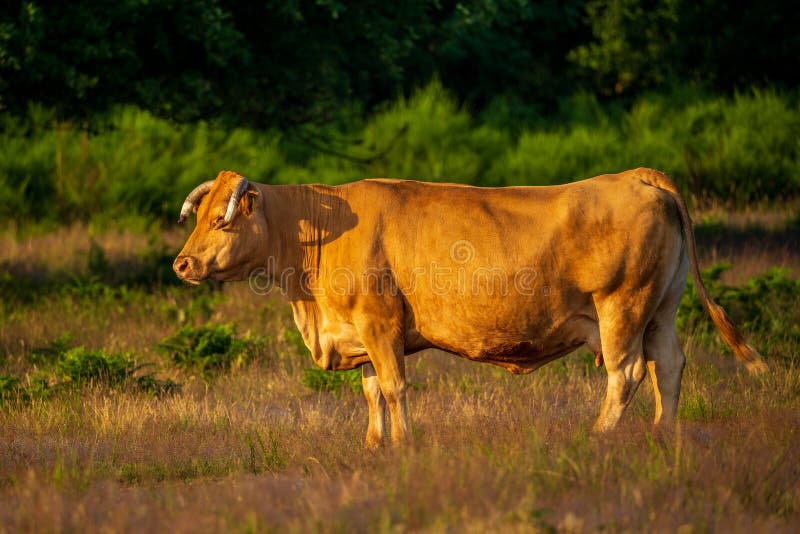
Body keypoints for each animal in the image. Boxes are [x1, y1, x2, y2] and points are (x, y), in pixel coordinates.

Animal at [173, 168, 766, 448]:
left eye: (222, 220)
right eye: (198, 216)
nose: (181, 264)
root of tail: (636, 175)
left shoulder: (380, 324)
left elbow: (394, 388)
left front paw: (404, 445)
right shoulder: (362, 335)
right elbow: (372, 393)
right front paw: (373, 446)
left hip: (621, 307)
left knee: (626, 373)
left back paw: (599, 437)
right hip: (660, 308)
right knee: (669, 366)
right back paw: (663, 435)